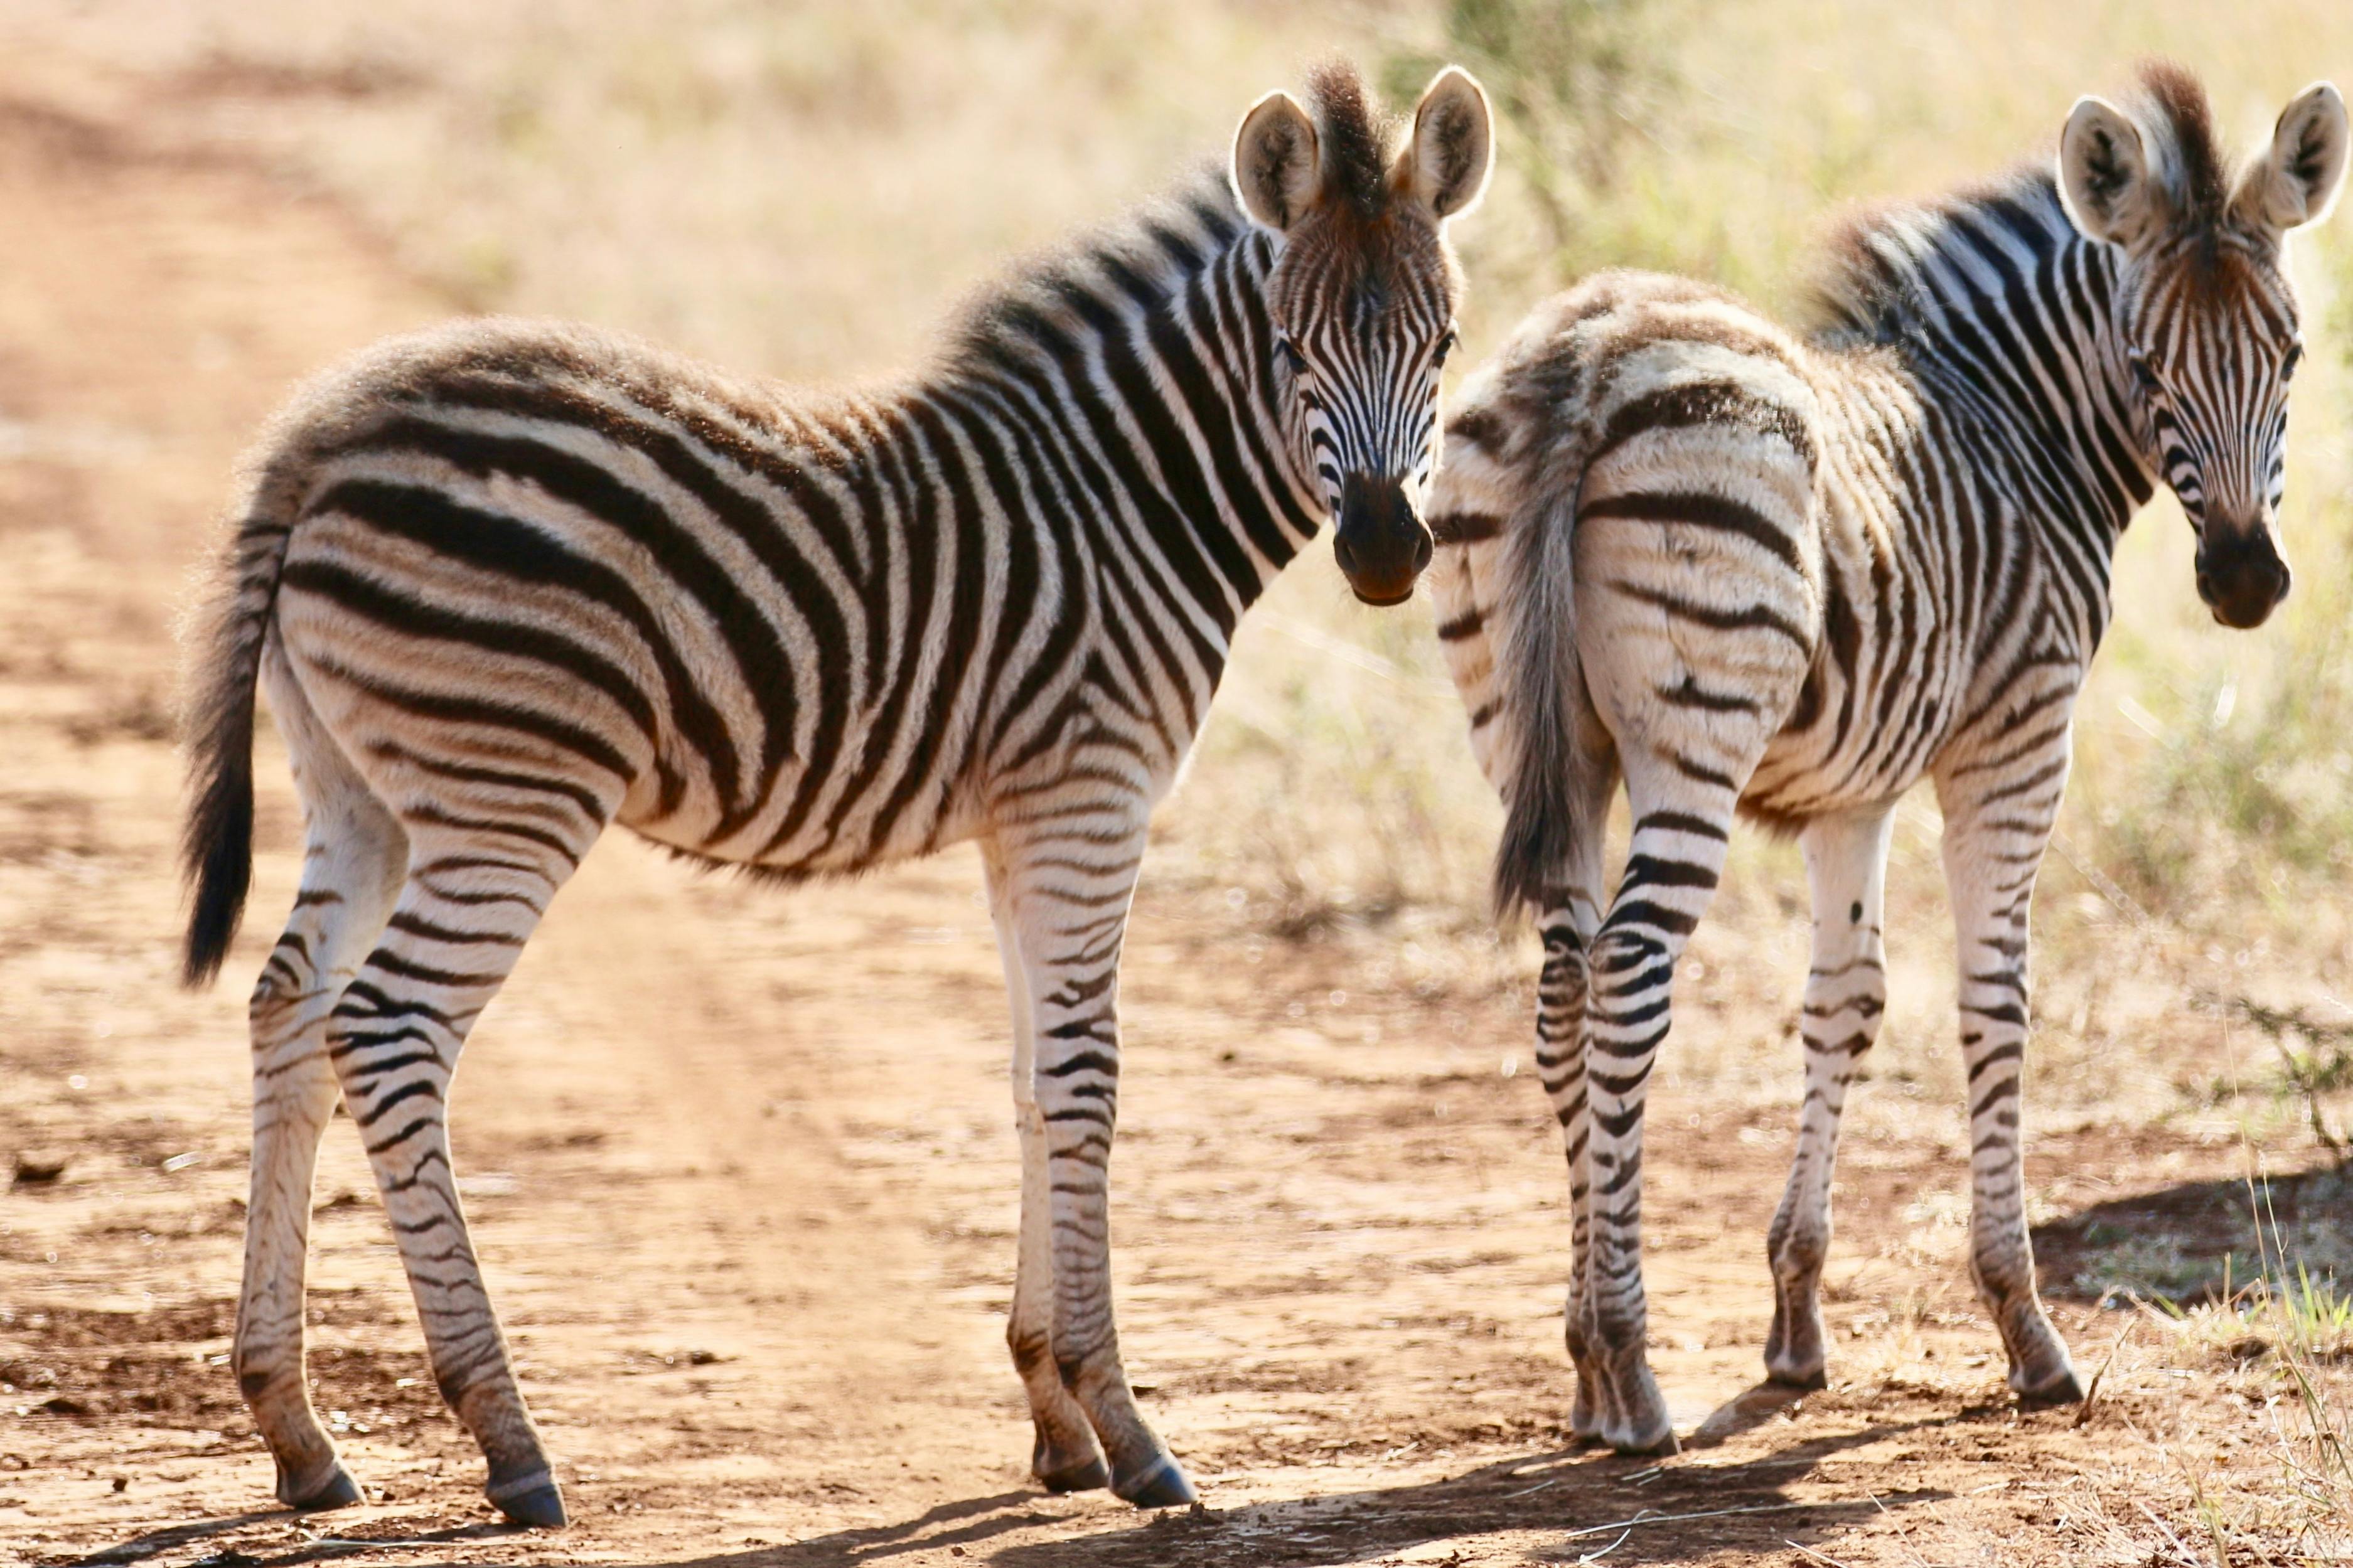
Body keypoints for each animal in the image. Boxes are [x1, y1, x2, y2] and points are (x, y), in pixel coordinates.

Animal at [178, 63, 1492, 1525]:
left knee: (288, 1008)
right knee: (386, 1030)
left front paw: (1052, 1414)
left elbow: (1031, 1077)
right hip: (506, 795)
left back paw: (297, 1429)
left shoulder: (1023, 819)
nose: (1383, 553)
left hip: (361, 791)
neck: (1123, 501)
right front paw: (1125, 1424)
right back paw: (510, 1438)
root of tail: (317, 439)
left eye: (1441, 344)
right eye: (1287, 347)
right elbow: (1086, 1075)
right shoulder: (1090, 796)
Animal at [1424, 65, 2345, 1454]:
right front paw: (2025, 1330)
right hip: (1691, 735)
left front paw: (1795, 1318)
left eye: (2287, 355)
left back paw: (1584, 1368)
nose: (2242, 582)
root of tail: (1585, 355)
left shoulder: (1845, 793)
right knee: (1628, 979)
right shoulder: (2012, 740)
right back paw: (1632, 1372)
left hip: (1538, 743)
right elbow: (1992, 1000)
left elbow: (1840, 1002)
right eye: (2142, 363)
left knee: (1562, 991)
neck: (2009, 420)